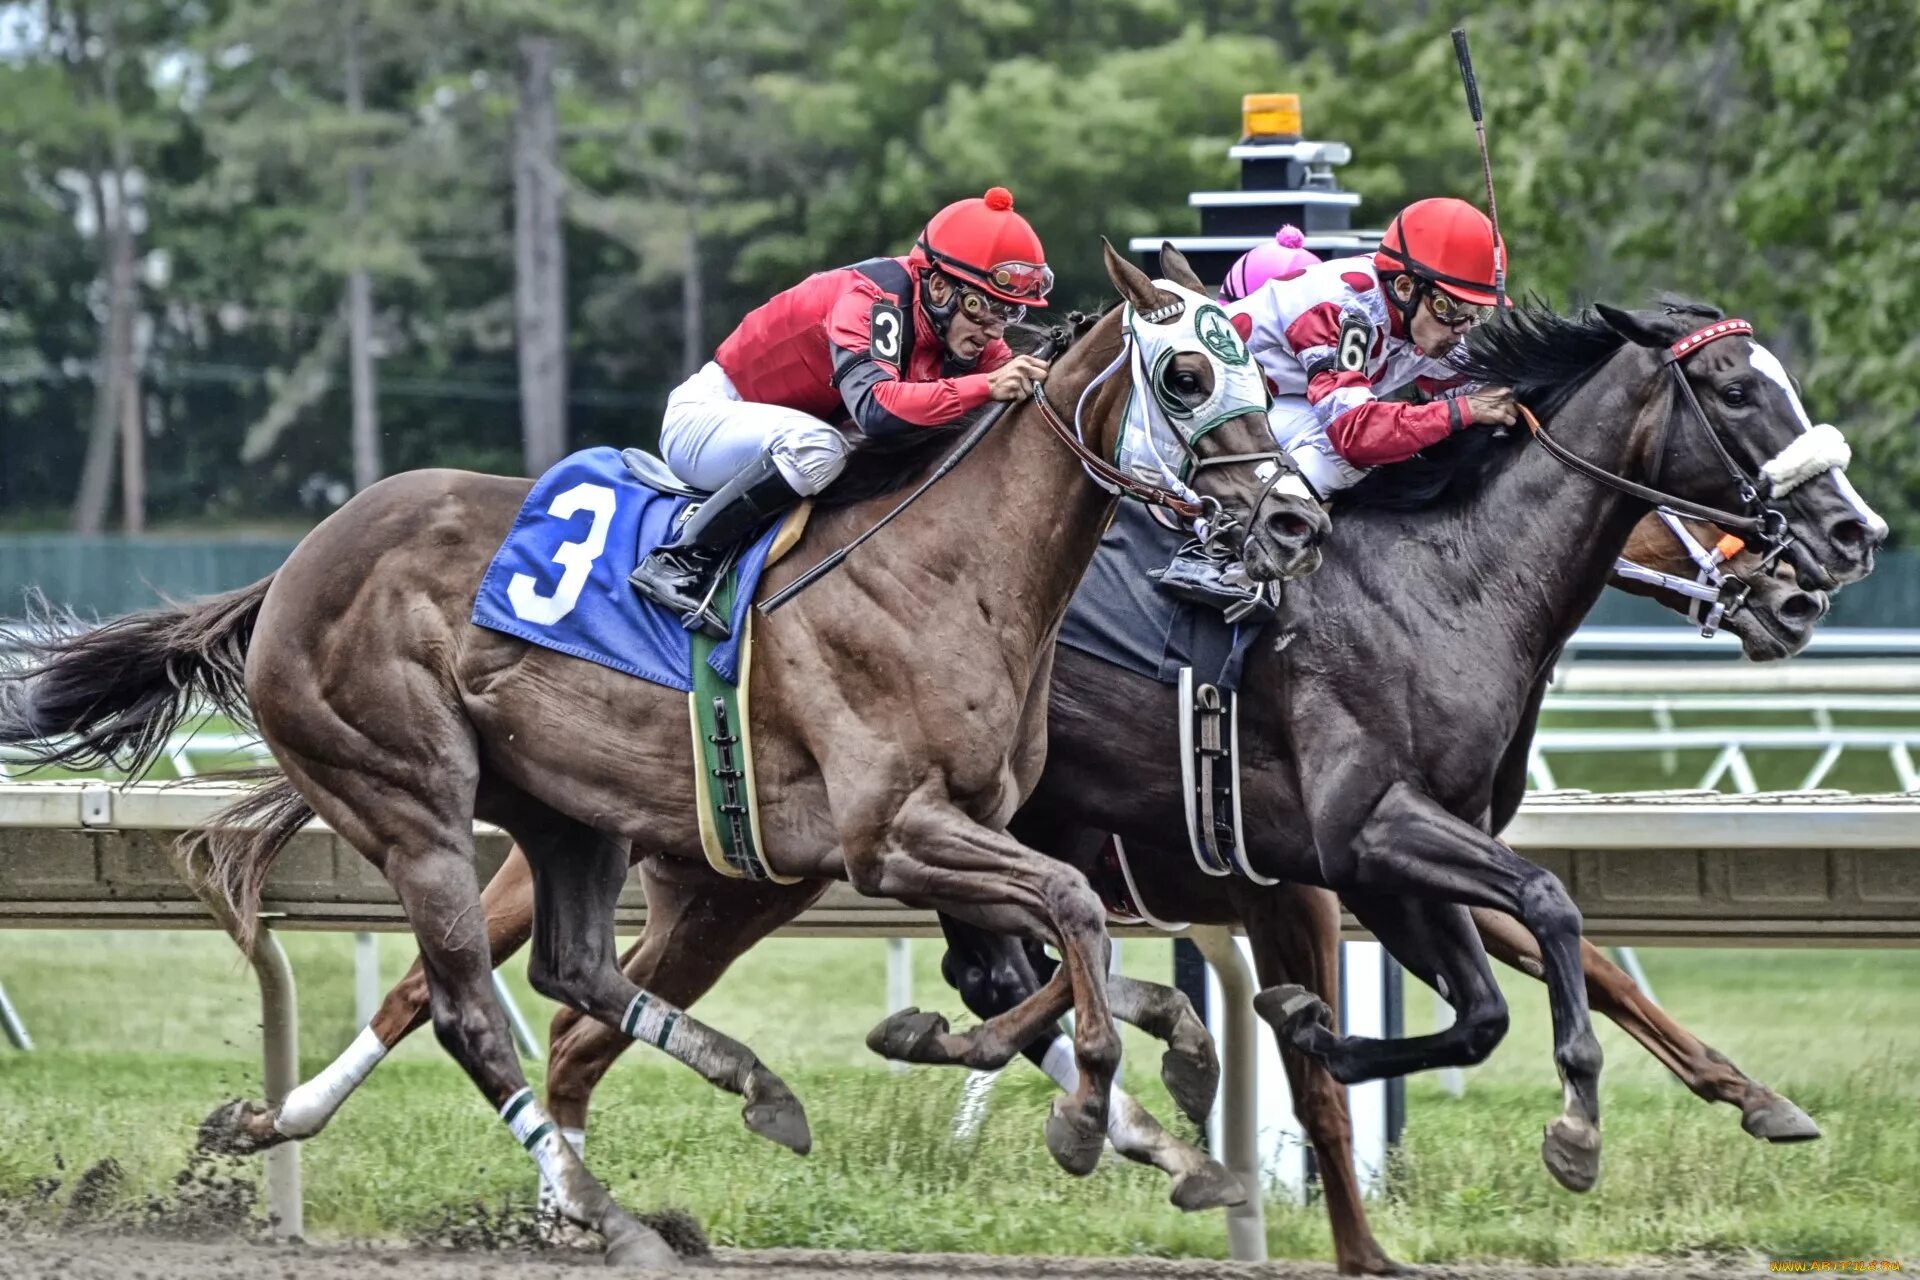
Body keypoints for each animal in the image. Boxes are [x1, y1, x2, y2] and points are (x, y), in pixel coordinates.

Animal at [0, 242, 1331, 1266]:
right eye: (1187, 370)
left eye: (1264, 371)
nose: (1293, 517)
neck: (948, 570)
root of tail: (293, 567)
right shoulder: (894, 834)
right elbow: (1075, 918)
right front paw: (1096, 1107)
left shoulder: (957, 830)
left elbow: (1065, 956)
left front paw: (1167, 1089)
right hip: (409, 794)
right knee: (470, 1009)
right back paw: (602, 1208)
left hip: (567, 811)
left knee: (573, 976)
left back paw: (737, 1096)